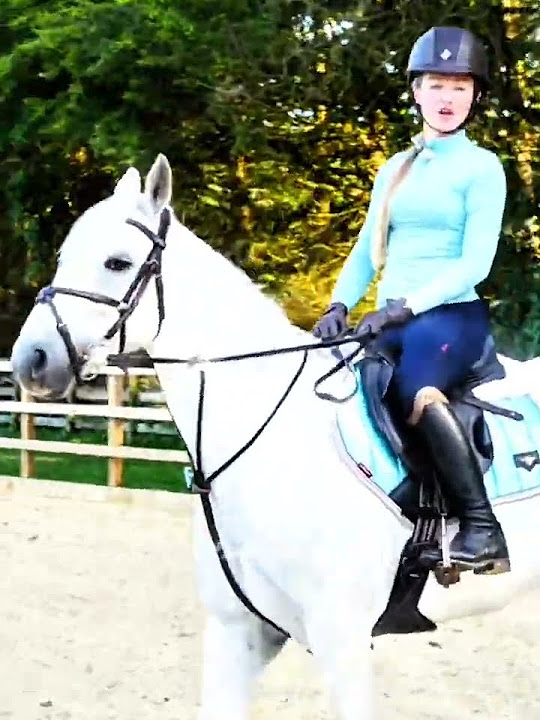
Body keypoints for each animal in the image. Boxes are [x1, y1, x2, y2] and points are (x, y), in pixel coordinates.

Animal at [11, 154, 540, 719]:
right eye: (64, 256)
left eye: (117, 262)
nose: (31, 359)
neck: (269, 439)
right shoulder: (237, 631)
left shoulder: (343, 639)